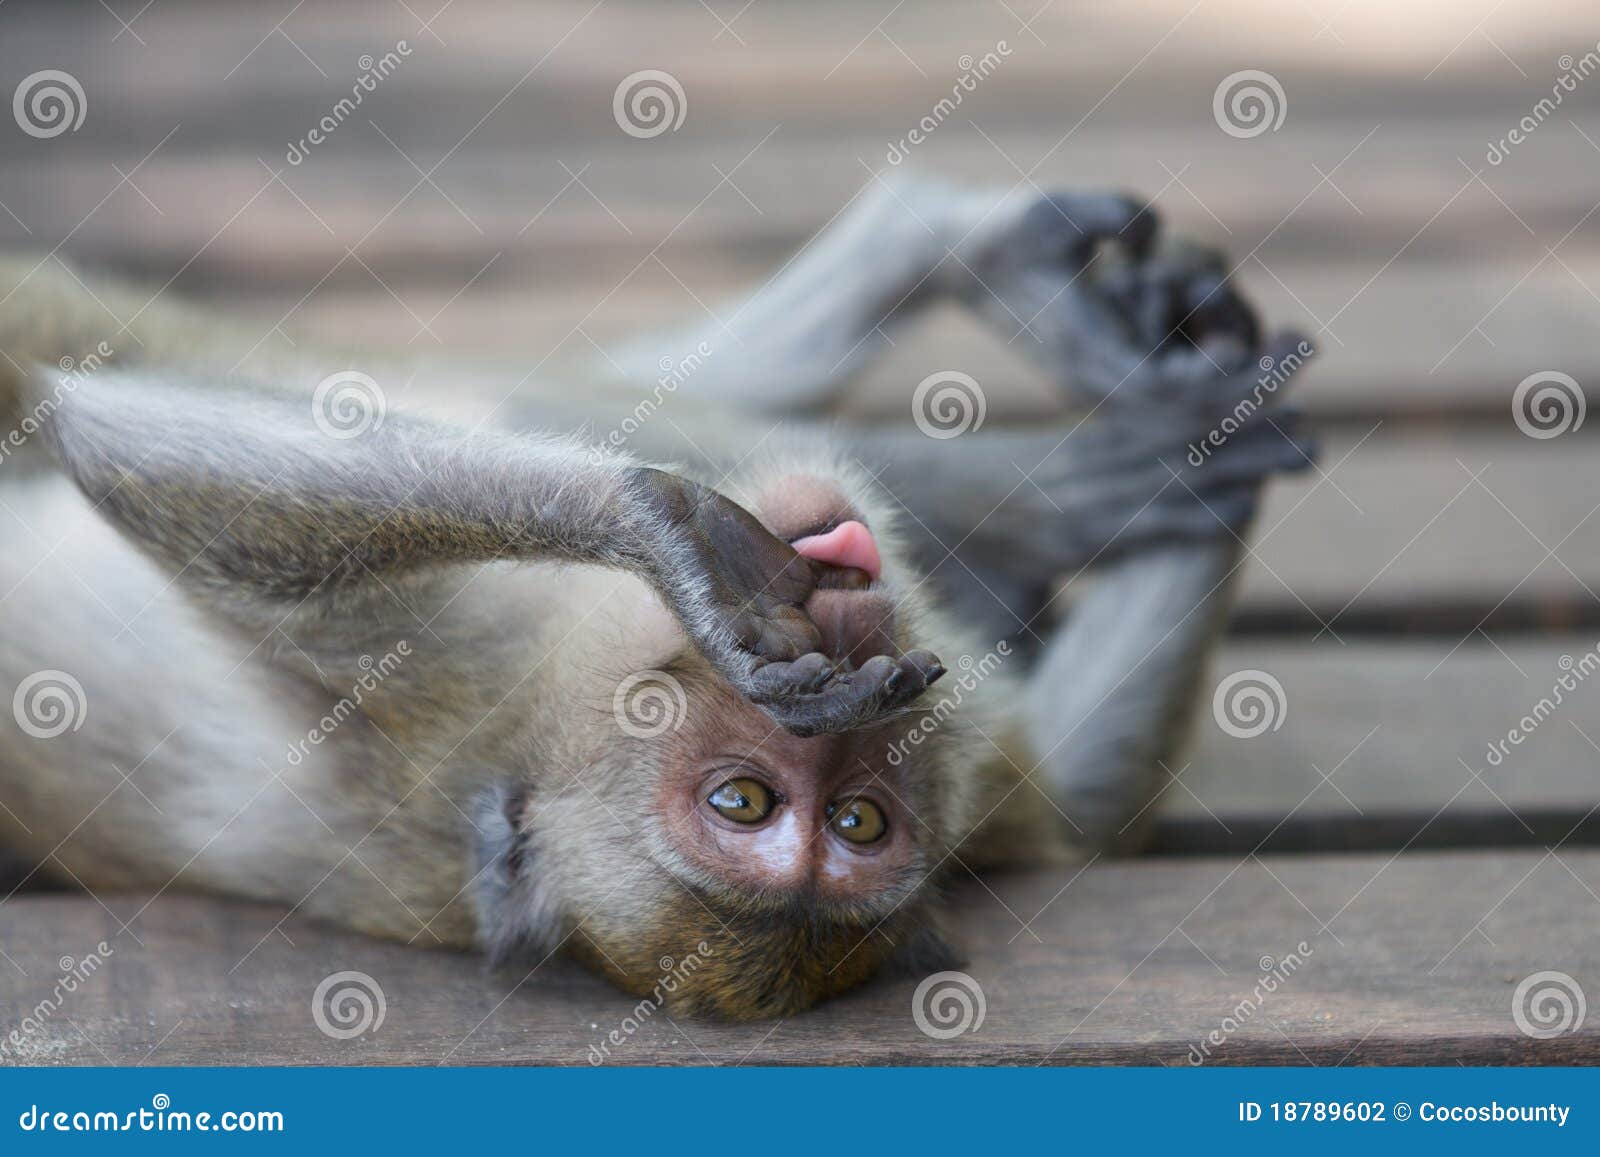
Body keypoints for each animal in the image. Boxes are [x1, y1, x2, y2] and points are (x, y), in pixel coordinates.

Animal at [0, 174, 1312, 1018]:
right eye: (745, 802)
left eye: (858, 824)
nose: (846, 739)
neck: (542, 725)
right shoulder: (431, 684)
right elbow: (109, 433)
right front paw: (666, 531)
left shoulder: (977, 783)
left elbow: (1083, 806)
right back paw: (1023, 484)